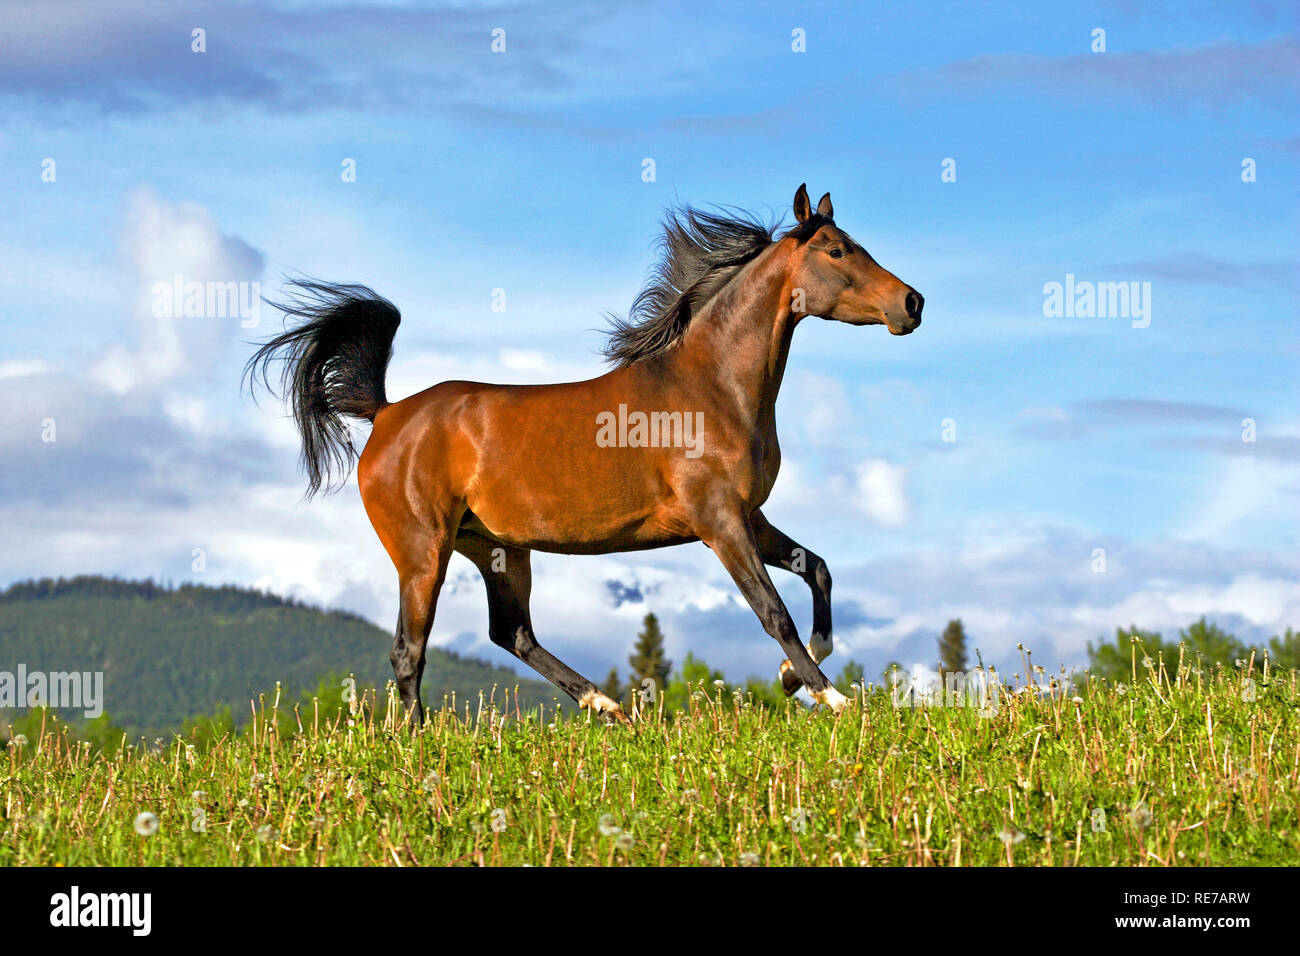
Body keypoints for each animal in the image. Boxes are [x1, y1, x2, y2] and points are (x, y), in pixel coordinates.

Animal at [246, 184, 923, 726]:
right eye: (836, 251)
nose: (912, 304)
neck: (711, 385)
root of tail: (387, 414)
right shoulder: (719, 523)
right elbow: (772, 611)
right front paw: (833, 698)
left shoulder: (748, 516)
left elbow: (819, 570)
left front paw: (790, 680)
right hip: (421, 554)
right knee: (409, 652)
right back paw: (420, 744)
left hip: (496, 548)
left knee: (512, 632)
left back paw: (608, 705)